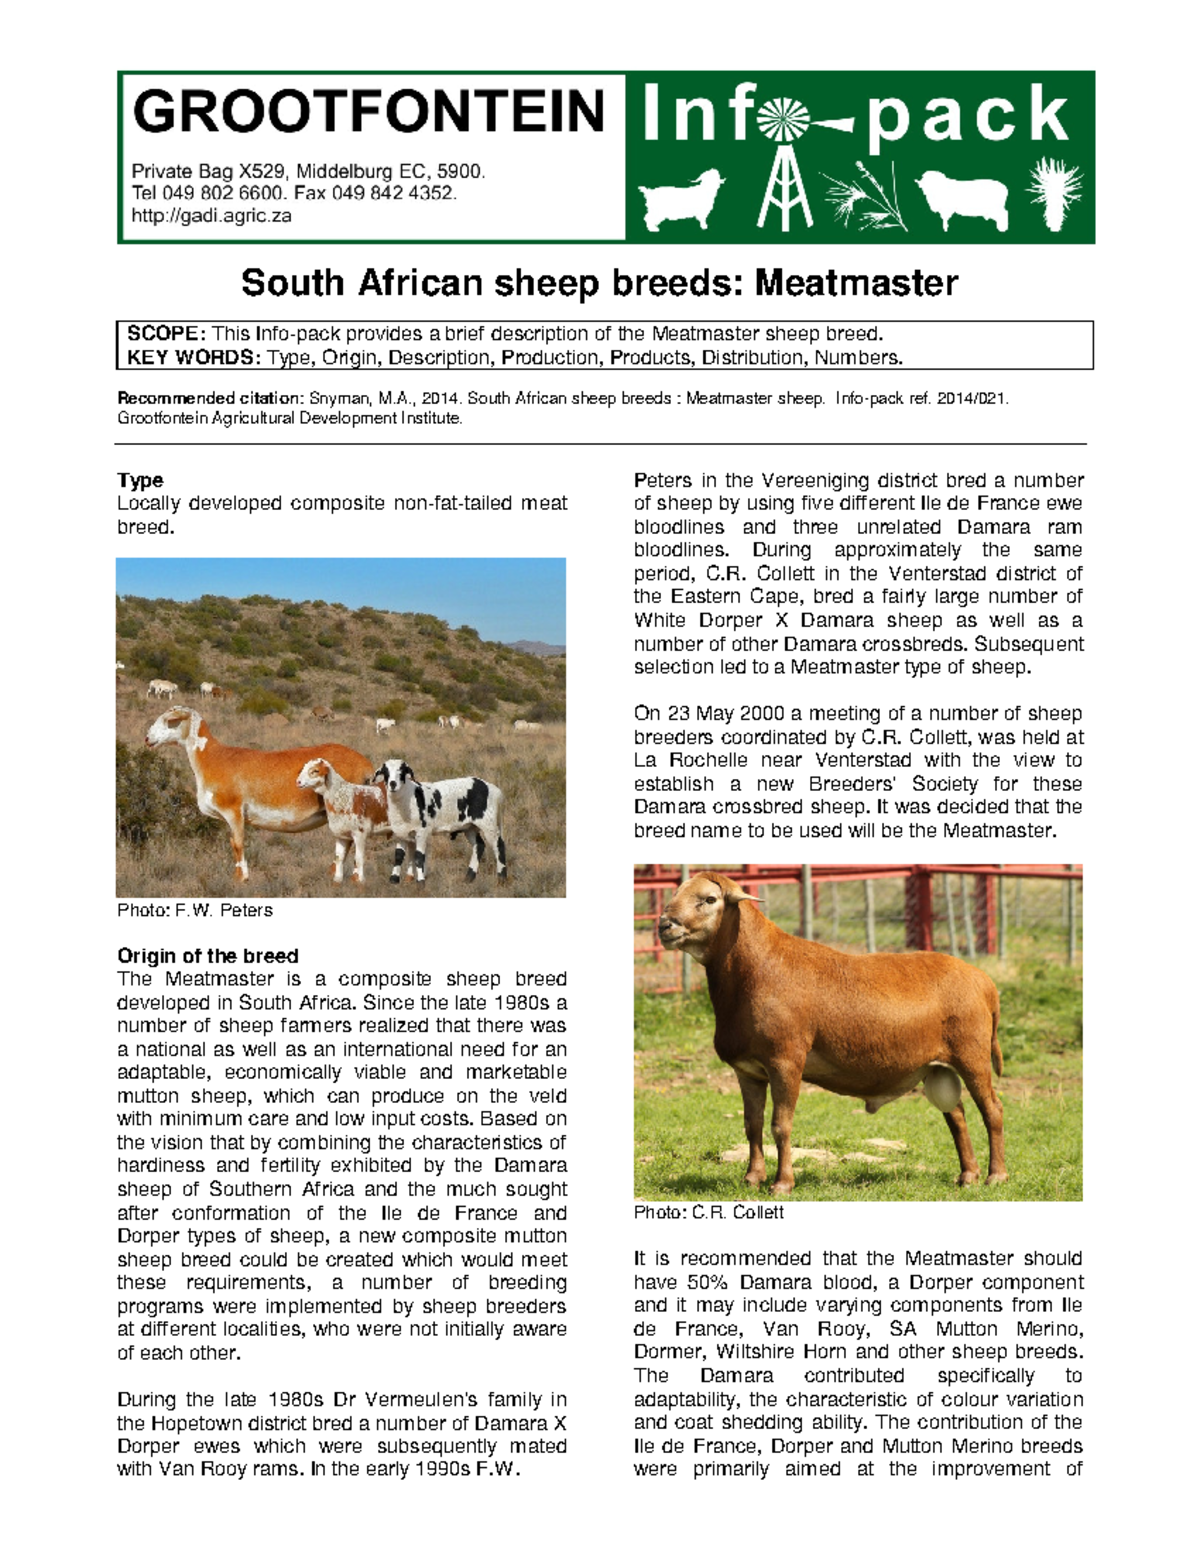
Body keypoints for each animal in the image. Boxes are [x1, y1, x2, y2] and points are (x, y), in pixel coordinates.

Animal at [144, 706, 375, 881]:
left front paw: (242, 878)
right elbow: (233, 843)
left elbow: (238, 843)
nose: (147, 739)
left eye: (169, 720)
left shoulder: (234, 810)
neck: (212, 757)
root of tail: (367, 765)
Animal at [374, 758, 506, 886]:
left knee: (499, 845)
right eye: (385, 772)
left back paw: (501, 879)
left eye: (402, 771)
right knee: (479, 845)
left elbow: (419, 857)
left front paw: (421, 883)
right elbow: (398, 856)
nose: (392, 784)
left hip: (488, 823)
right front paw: (393, 880)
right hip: (470, 827)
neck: (408, 798)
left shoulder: (422, 832)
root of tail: (494, 789)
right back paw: (469, 878)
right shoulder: (401, 833)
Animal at [657, 872, 1006, 1193]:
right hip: (936, 1067)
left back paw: (996, 1175)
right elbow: (752, 1125)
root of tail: (986, 984)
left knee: (992, 1110)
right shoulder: (749, 1070)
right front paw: (752, 1178)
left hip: (972, 1054)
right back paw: (968, 1175)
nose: (664, 925)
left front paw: (782, 1184)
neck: (758, 967)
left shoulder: (786, 1060)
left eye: (709, 899)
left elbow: (780, 1125)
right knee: (956, 1114)